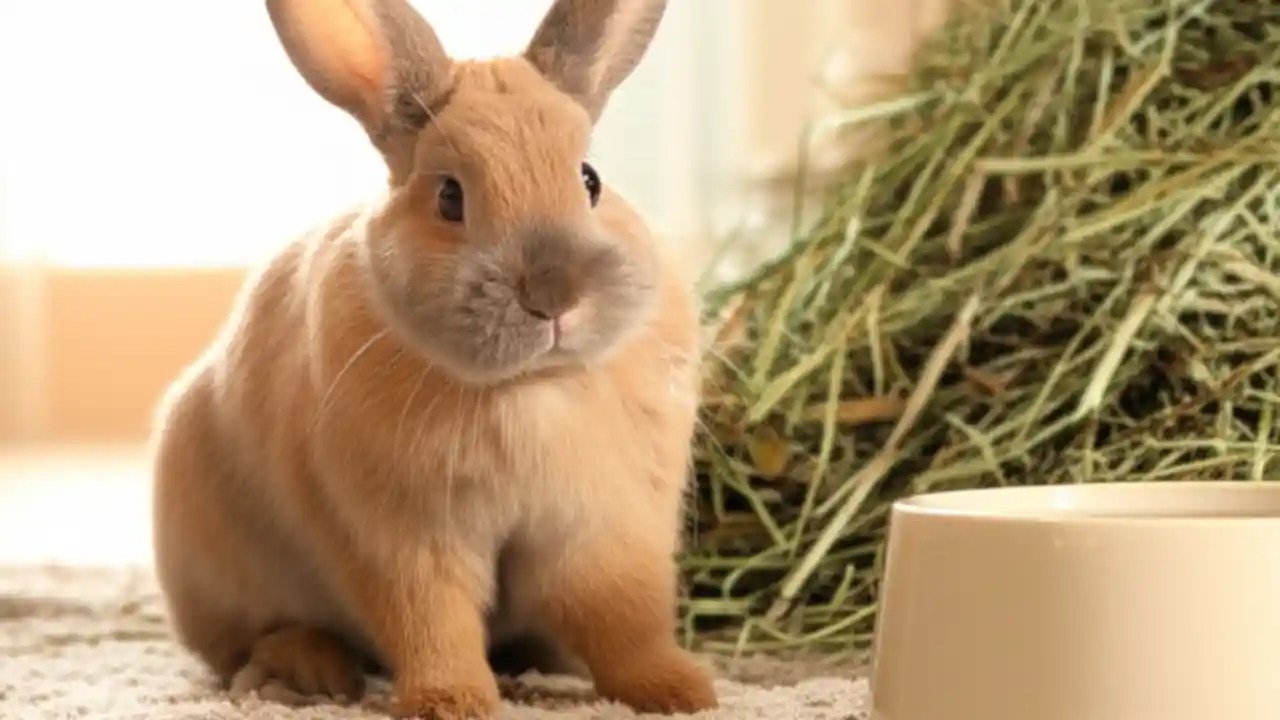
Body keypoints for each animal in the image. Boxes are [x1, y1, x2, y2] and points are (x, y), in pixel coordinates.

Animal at [147, 0, 719, 717]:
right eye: (449, 196)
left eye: (591, 181)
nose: (553, 294)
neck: (528, 386)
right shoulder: (403, 537)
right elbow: (430, 623)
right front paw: (450, 703)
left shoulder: (605, 531)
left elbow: (623, 618)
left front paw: (680, 691)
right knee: (247, 643)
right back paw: (305, 671)